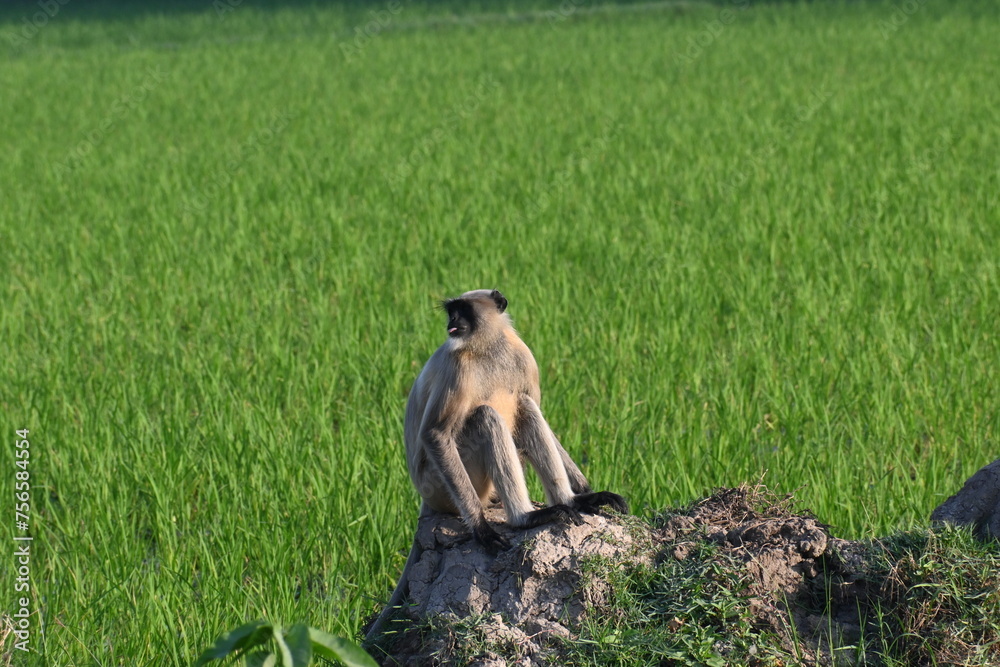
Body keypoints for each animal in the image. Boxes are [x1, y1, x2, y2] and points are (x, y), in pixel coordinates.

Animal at [365, 289, 627, 640]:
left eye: (462, 311)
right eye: (452, 311)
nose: (452, 322)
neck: (488, 348)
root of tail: (425, 496)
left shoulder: (524, 357)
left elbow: (533, 404)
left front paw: (585, 491)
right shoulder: (458, 365)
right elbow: (436, 434)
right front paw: (481, 528)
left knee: (525, 406)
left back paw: (569, 502)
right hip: (442, 485)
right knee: (484, 417)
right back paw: (524, 518)